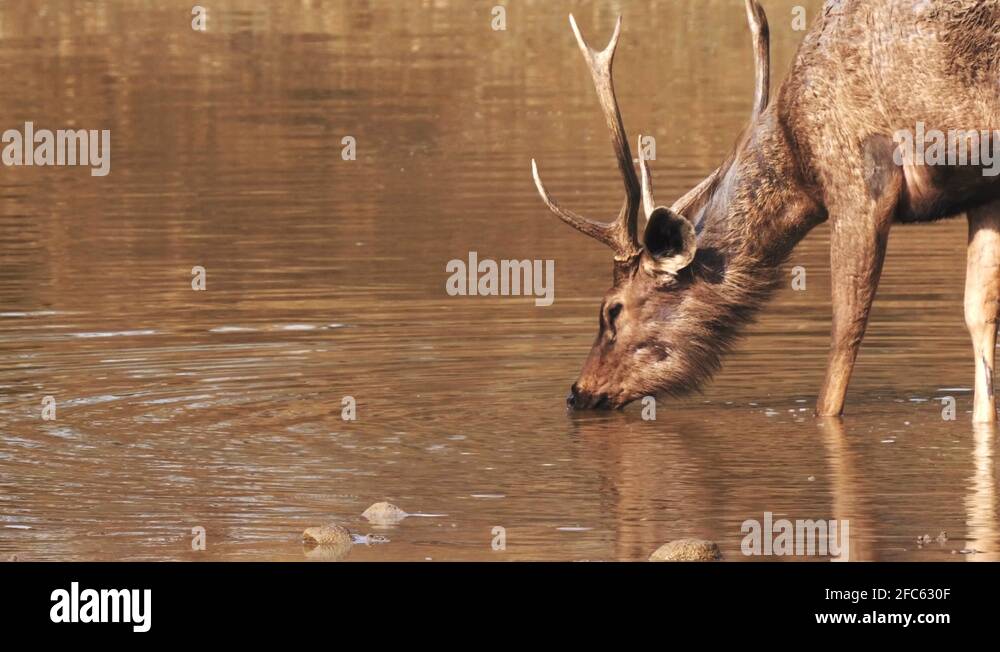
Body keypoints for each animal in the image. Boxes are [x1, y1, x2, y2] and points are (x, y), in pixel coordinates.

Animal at [531, 0, 1000, 421]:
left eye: (612, 309)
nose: (577, 391)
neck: (798, 154)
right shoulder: (983, 195)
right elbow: (979, 318)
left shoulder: (859, 185)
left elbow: (844, 337)